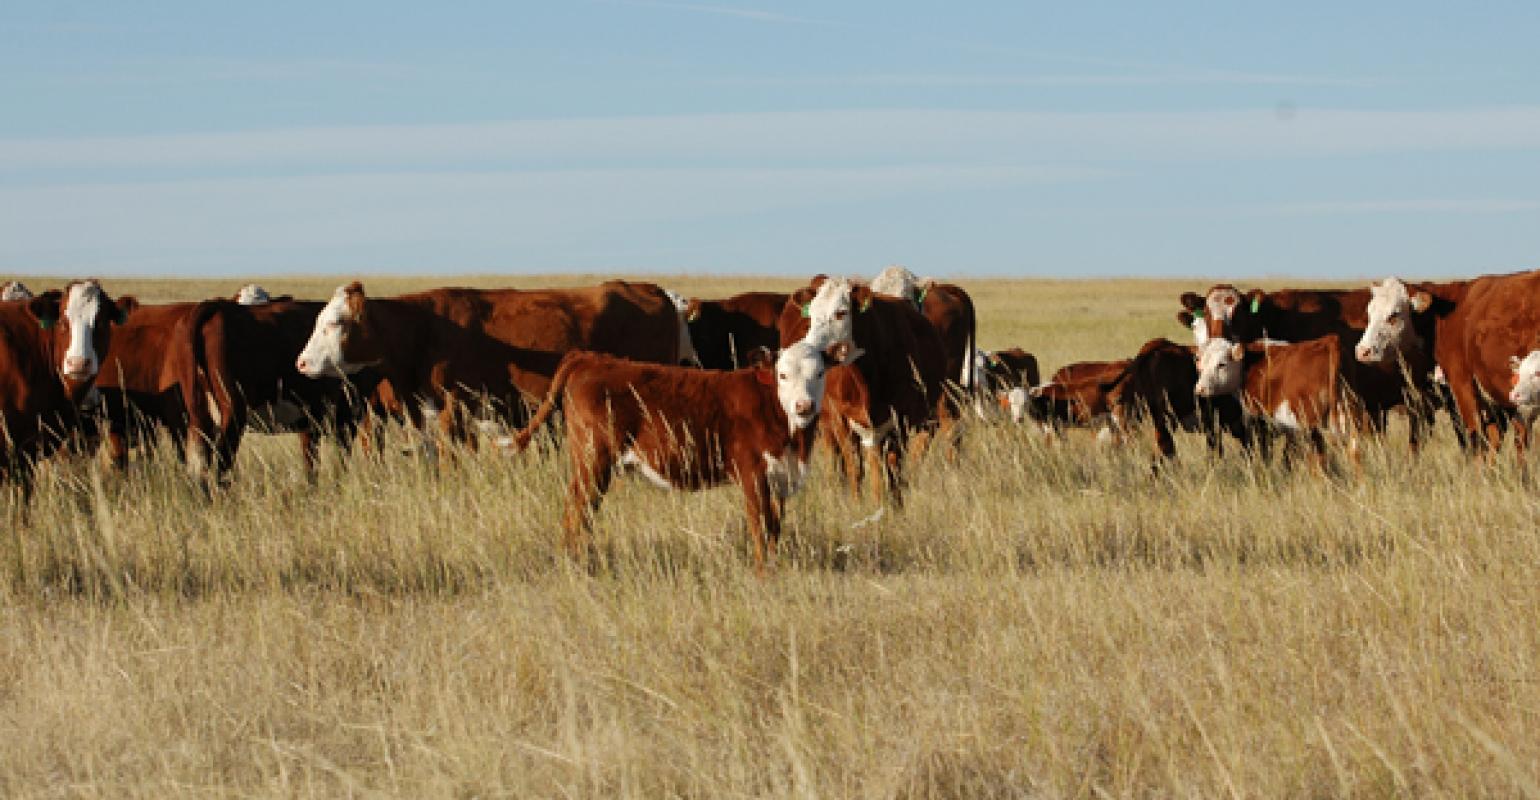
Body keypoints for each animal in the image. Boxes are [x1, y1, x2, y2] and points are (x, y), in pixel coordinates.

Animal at [505, 341, 857, 573]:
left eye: (820, 372)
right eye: (782, 375)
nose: (804, 406)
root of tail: (590, 358)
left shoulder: (780, 477)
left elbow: (775, 526)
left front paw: (773, 565)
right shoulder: (752, 473)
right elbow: (759, 524)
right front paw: (761, 572)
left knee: (583, 513)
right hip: (593, 462)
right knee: (575, 511)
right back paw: (572, 564)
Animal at [779, 275, 949, 508]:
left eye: (841, 313)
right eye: (811, 313)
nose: (809, 352)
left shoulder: (898, 420)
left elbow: (893, 470)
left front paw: (893, 507)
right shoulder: (841, 419)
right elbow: (855, 467)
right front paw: (857, 505)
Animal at [1194, 335, 1364, 472]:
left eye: (1221, 364)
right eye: (1201, 364)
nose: (1200, 388)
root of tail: (1330, 341)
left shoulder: (1260, 423)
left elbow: (1265, 455)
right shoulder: (1290, 431)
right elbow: (1287, 458)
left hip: (1312, 424)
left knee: (1319, 460)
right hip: (1349, 410)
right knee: (1354, 451)